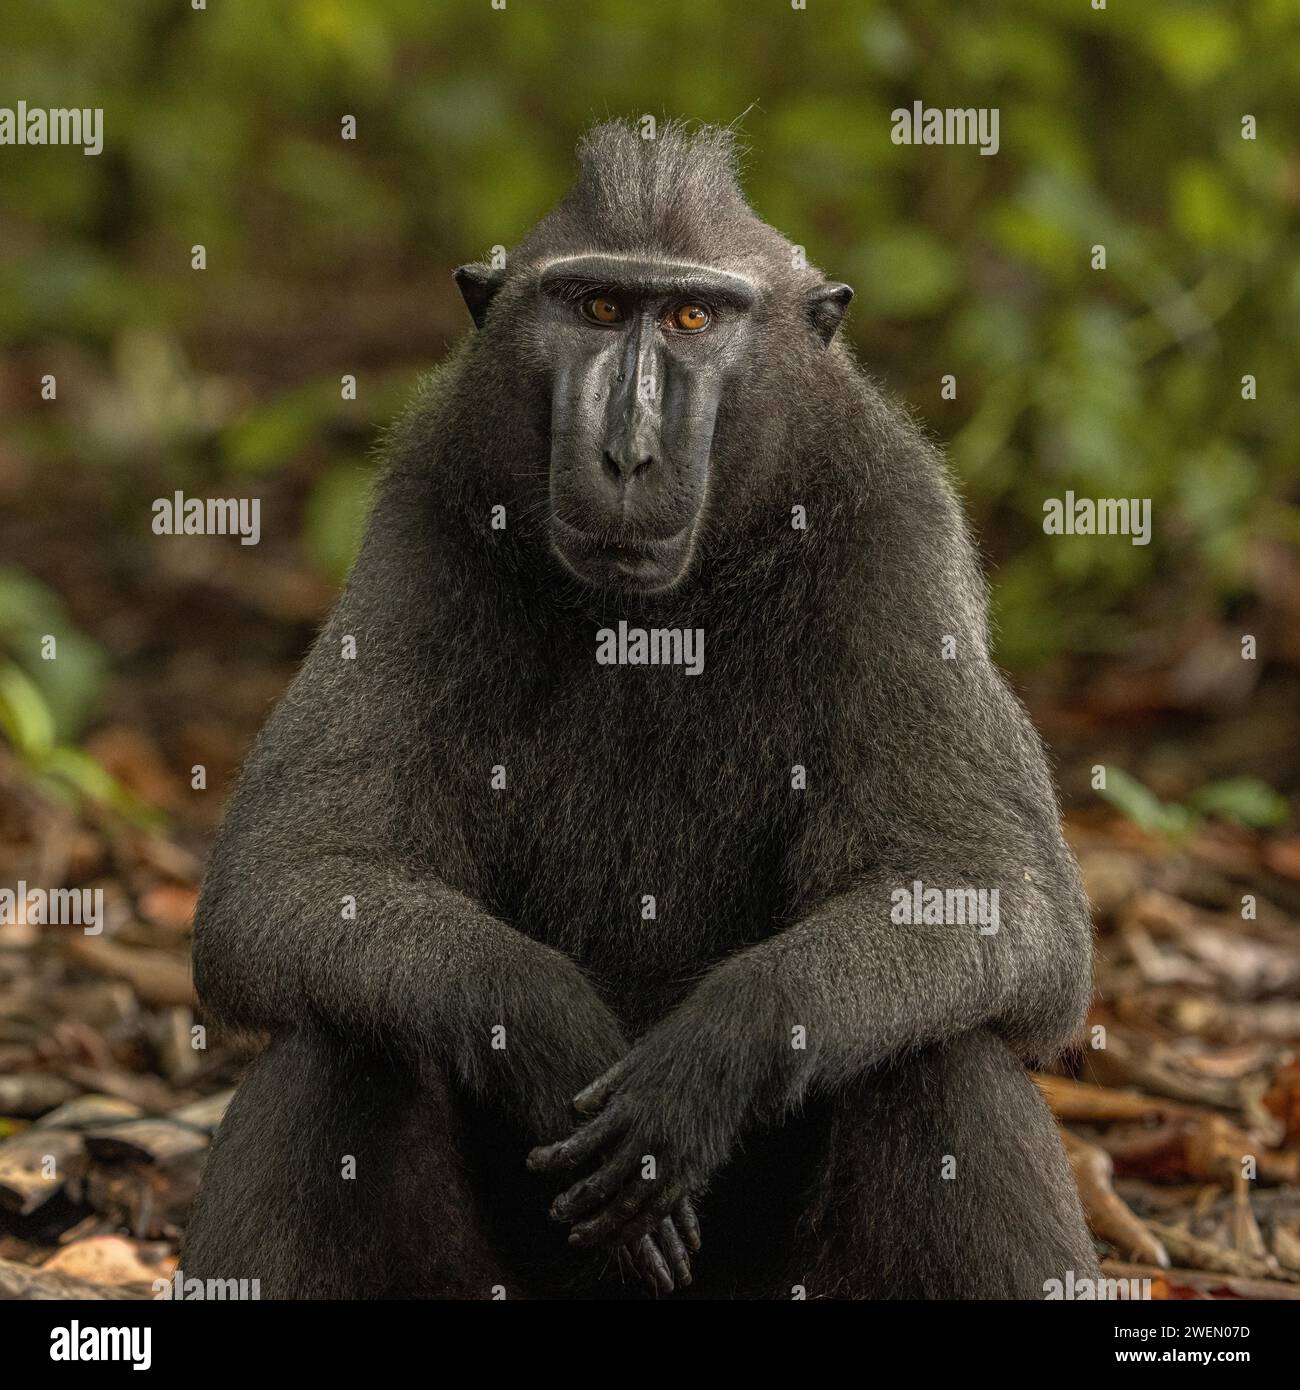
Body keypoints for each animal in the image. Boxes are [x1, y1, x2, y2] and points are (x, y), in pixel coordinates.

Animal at [182, 120, 1101, 1300]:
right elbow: (286, 877)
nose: (629, 453)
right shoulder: (423, 512)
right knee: (338, 1043)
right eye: (599, 309)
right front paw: (538, 1022)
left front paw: (718, 1055)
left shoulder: (900, 533)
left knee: (943, 1059)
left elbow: (1000, 896)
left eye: (694, 319)